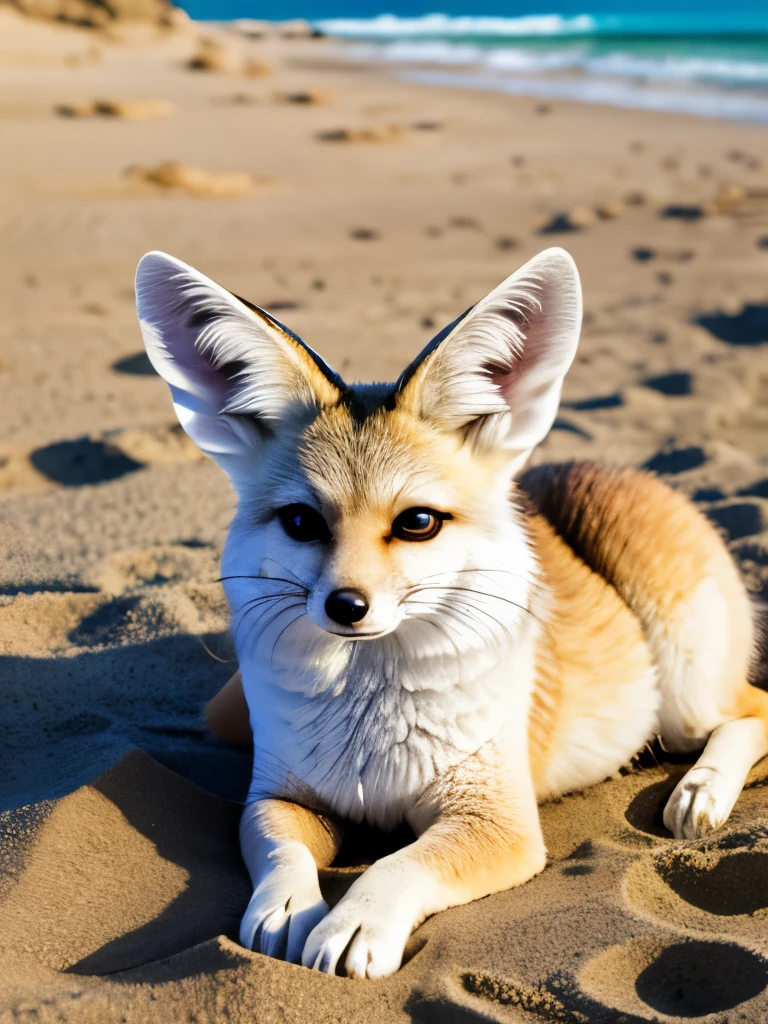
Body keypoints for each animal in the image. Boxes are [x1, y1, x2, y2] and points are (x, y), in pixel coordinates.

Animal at [135, 246, 768, 980]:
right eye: (300, 522)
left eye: (417, 523)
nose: (346, 606)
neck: (370, 721)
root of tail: (601, 469)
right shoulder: (280, 796)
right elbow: (281, 854)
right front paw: (288, 906)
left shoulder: (496, 821)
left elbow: (398, 864)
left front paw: (355, 922)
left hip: (686, 689)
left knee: (754, 711)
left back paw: (701, 791)